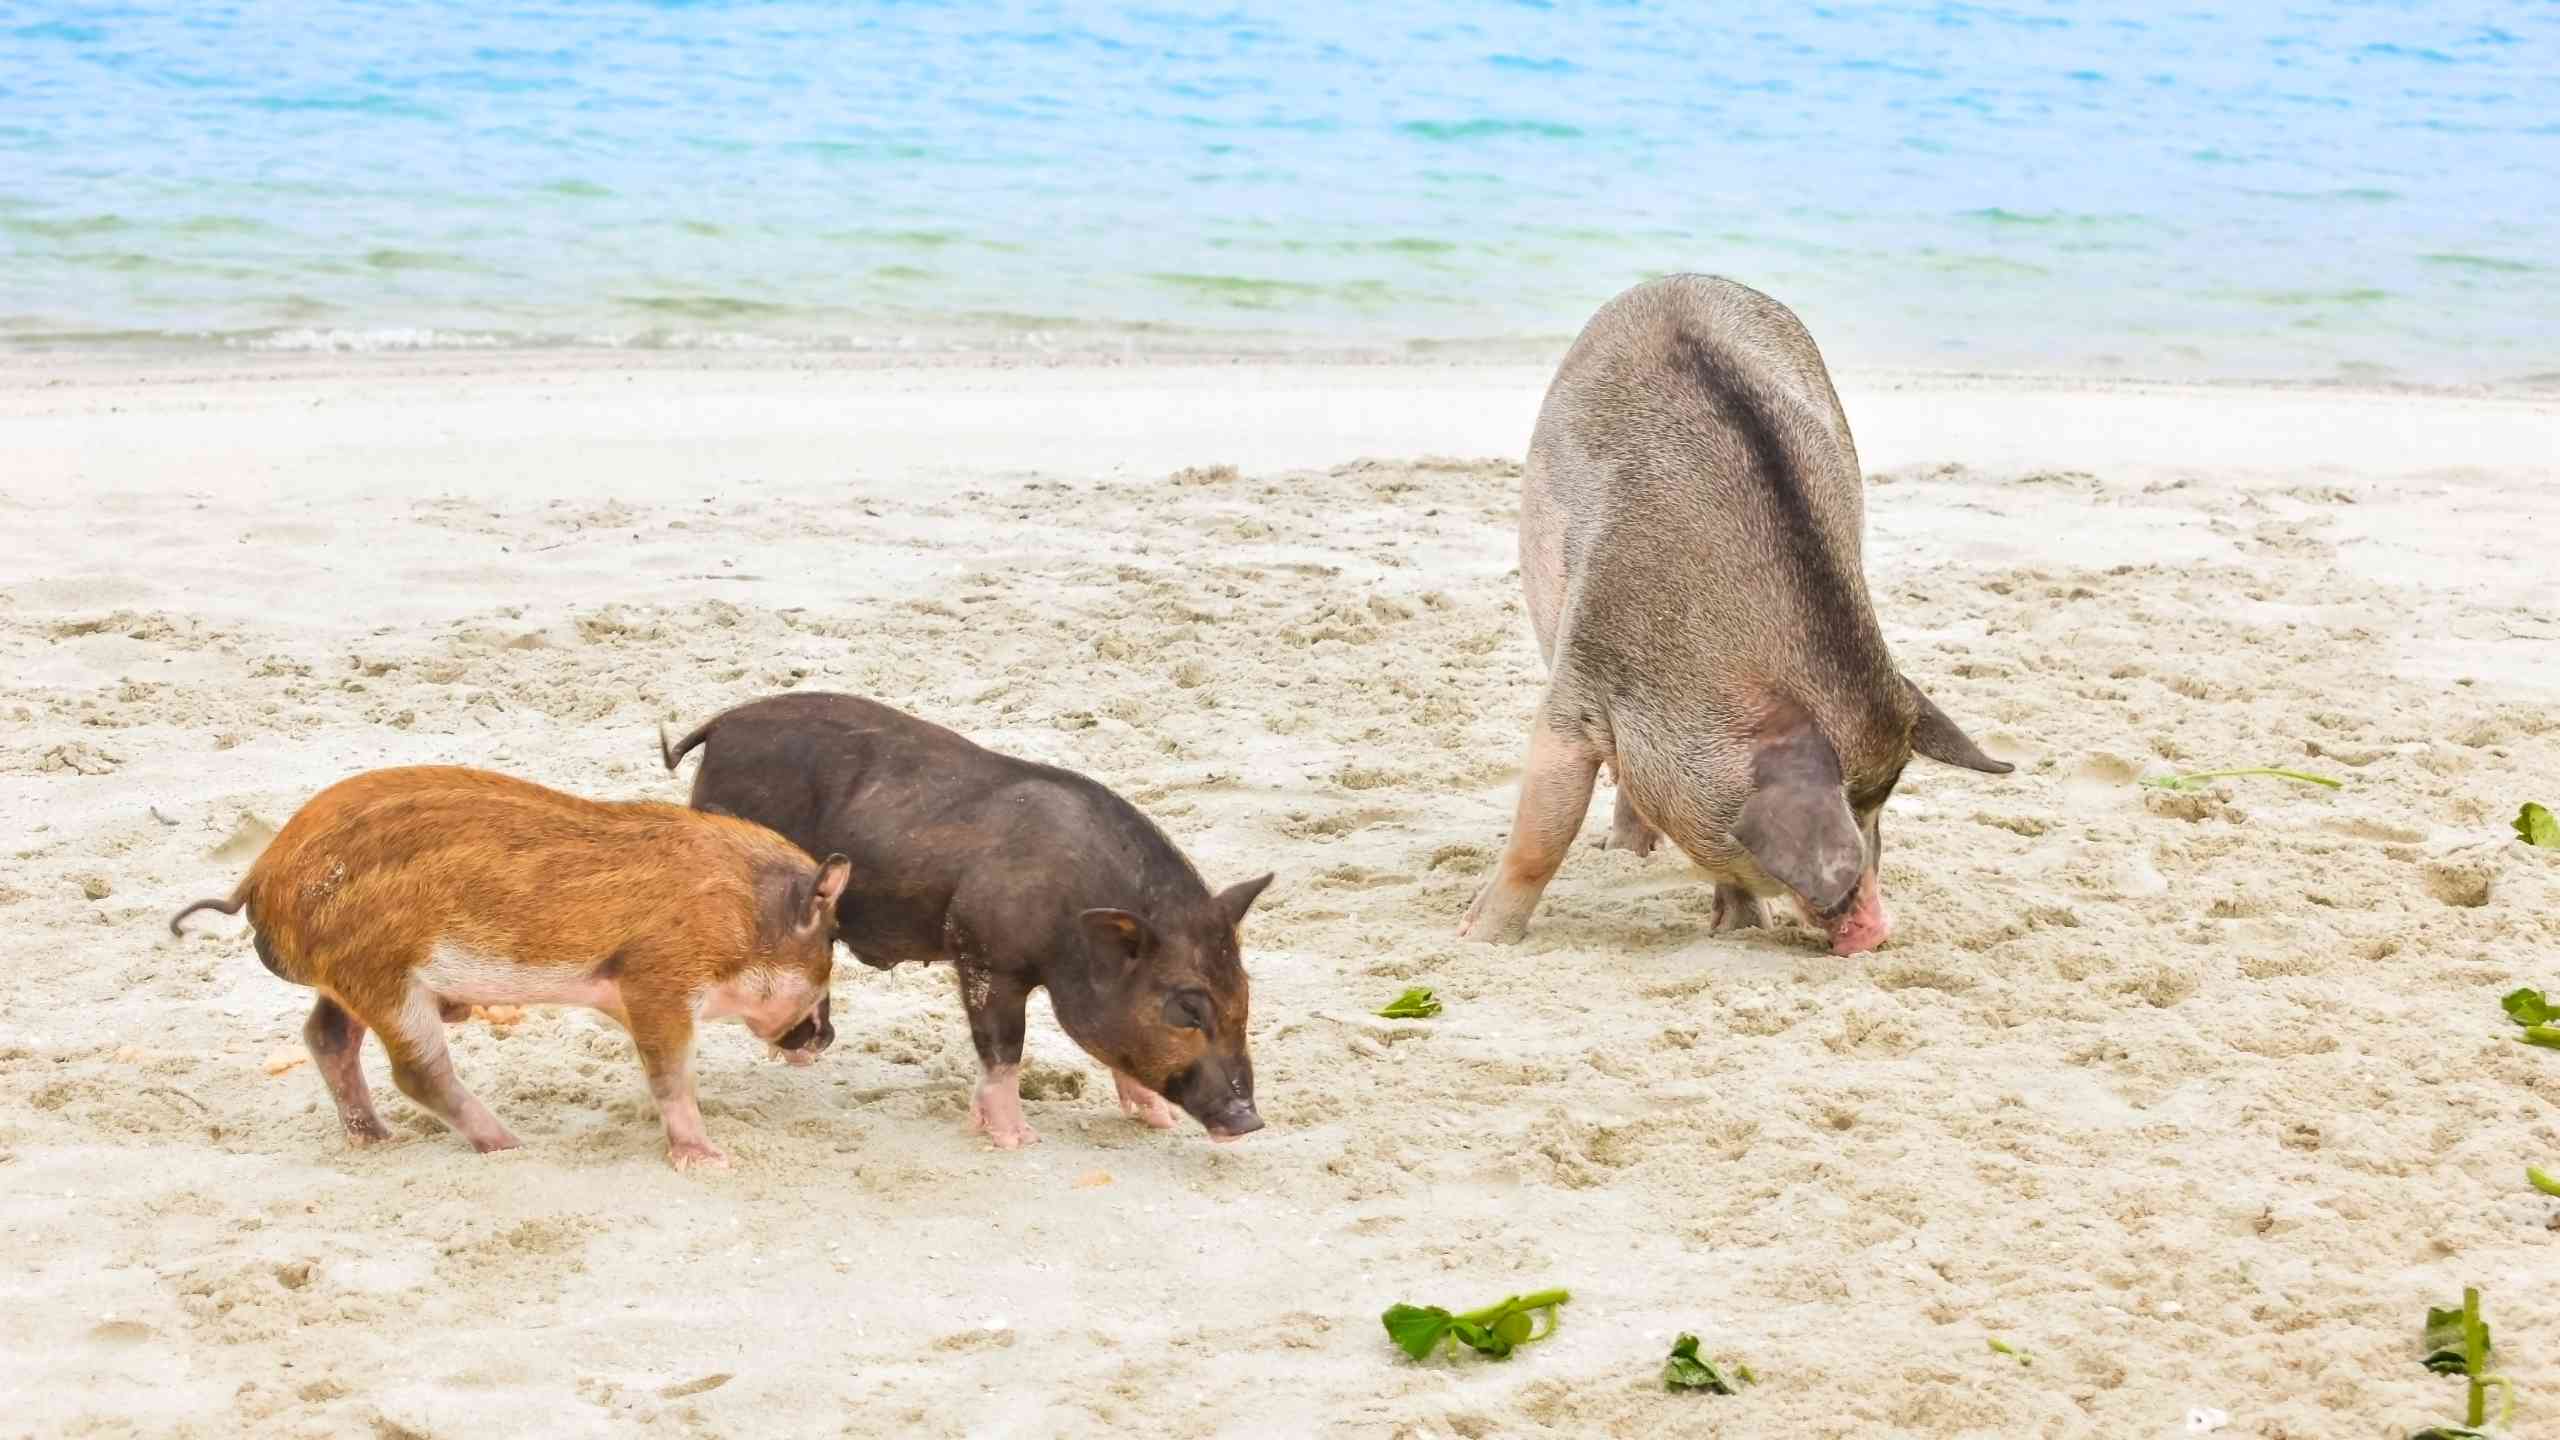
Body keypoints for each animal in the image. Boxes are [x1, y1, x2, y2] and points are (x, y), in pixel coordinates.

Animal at [1464, 279, 1996, 953]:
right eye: (1850, 806)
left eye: (1879, 806)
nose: (1878, 931)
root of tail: (1677, 278)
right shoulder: (1575, 686)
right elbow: (1542, 835)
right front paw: (1476, 939)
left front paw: (1741, 930)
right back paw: (1622, 853)